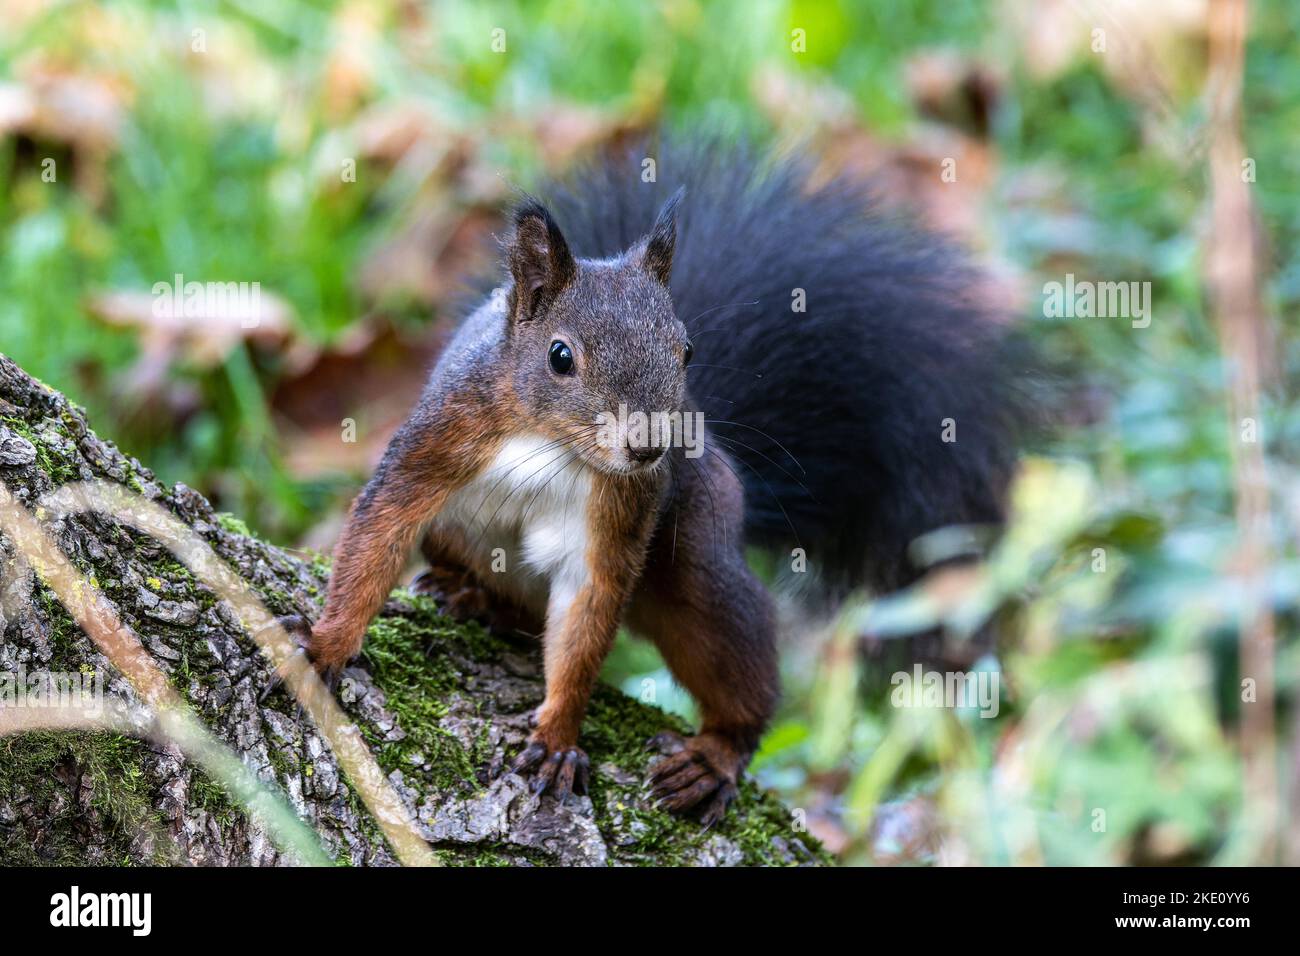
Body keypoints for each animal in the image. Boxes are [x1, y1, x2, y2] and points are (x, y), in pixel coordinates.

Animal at [282, 138, 1023, 825]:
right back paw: (468, 595)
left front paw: (557, 736)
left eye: (686, 350)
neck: (546, 441)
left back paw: (716, 754)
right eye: (560, 357)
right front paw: (324, 645)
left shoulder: (624, 508)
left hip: (696, 554)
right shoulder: (438, 436)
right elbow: (378, 531)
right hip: (461, 537)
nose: (651, 446)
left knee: (727, 649)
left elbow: (589, 608)